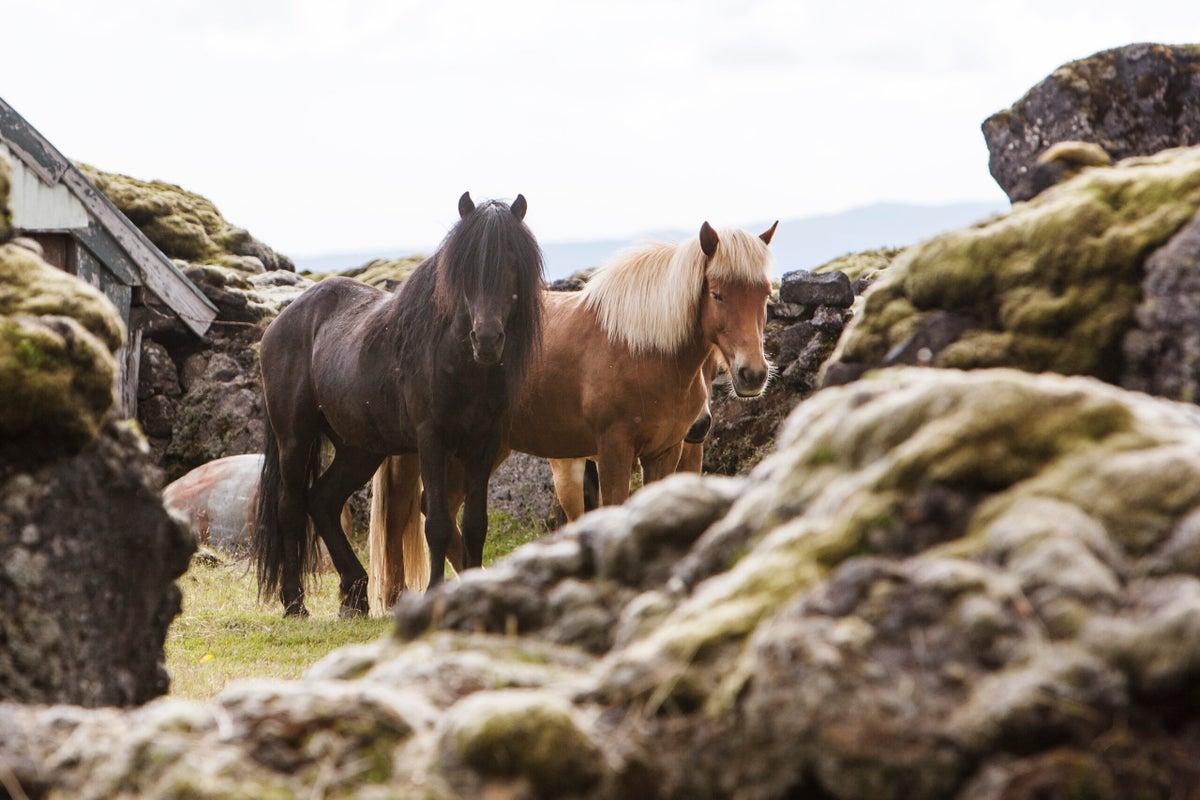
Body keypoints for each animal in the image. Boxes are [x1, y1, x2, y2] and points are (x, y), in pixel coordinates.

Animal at [252, 192, 544, 617]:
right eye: (464, 267)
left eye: (511, 264)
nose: (487, 339)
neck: (458, 361)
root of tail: (282, 320)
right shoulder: (432, 440)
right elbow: (438, 522)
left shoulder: (484, 445)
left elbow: (475, 524)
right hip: (294, 436)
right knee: (290, 506)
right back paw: (295, 603)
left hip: (360, 448)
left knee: (322, 501)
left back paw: (355, 595)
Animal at [368, 220, 775, 608]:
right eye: (717, 293)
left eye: (765, 294)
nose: (752, 374)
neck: (639, 347)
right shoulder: (613, 449)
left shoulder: (664, 452)